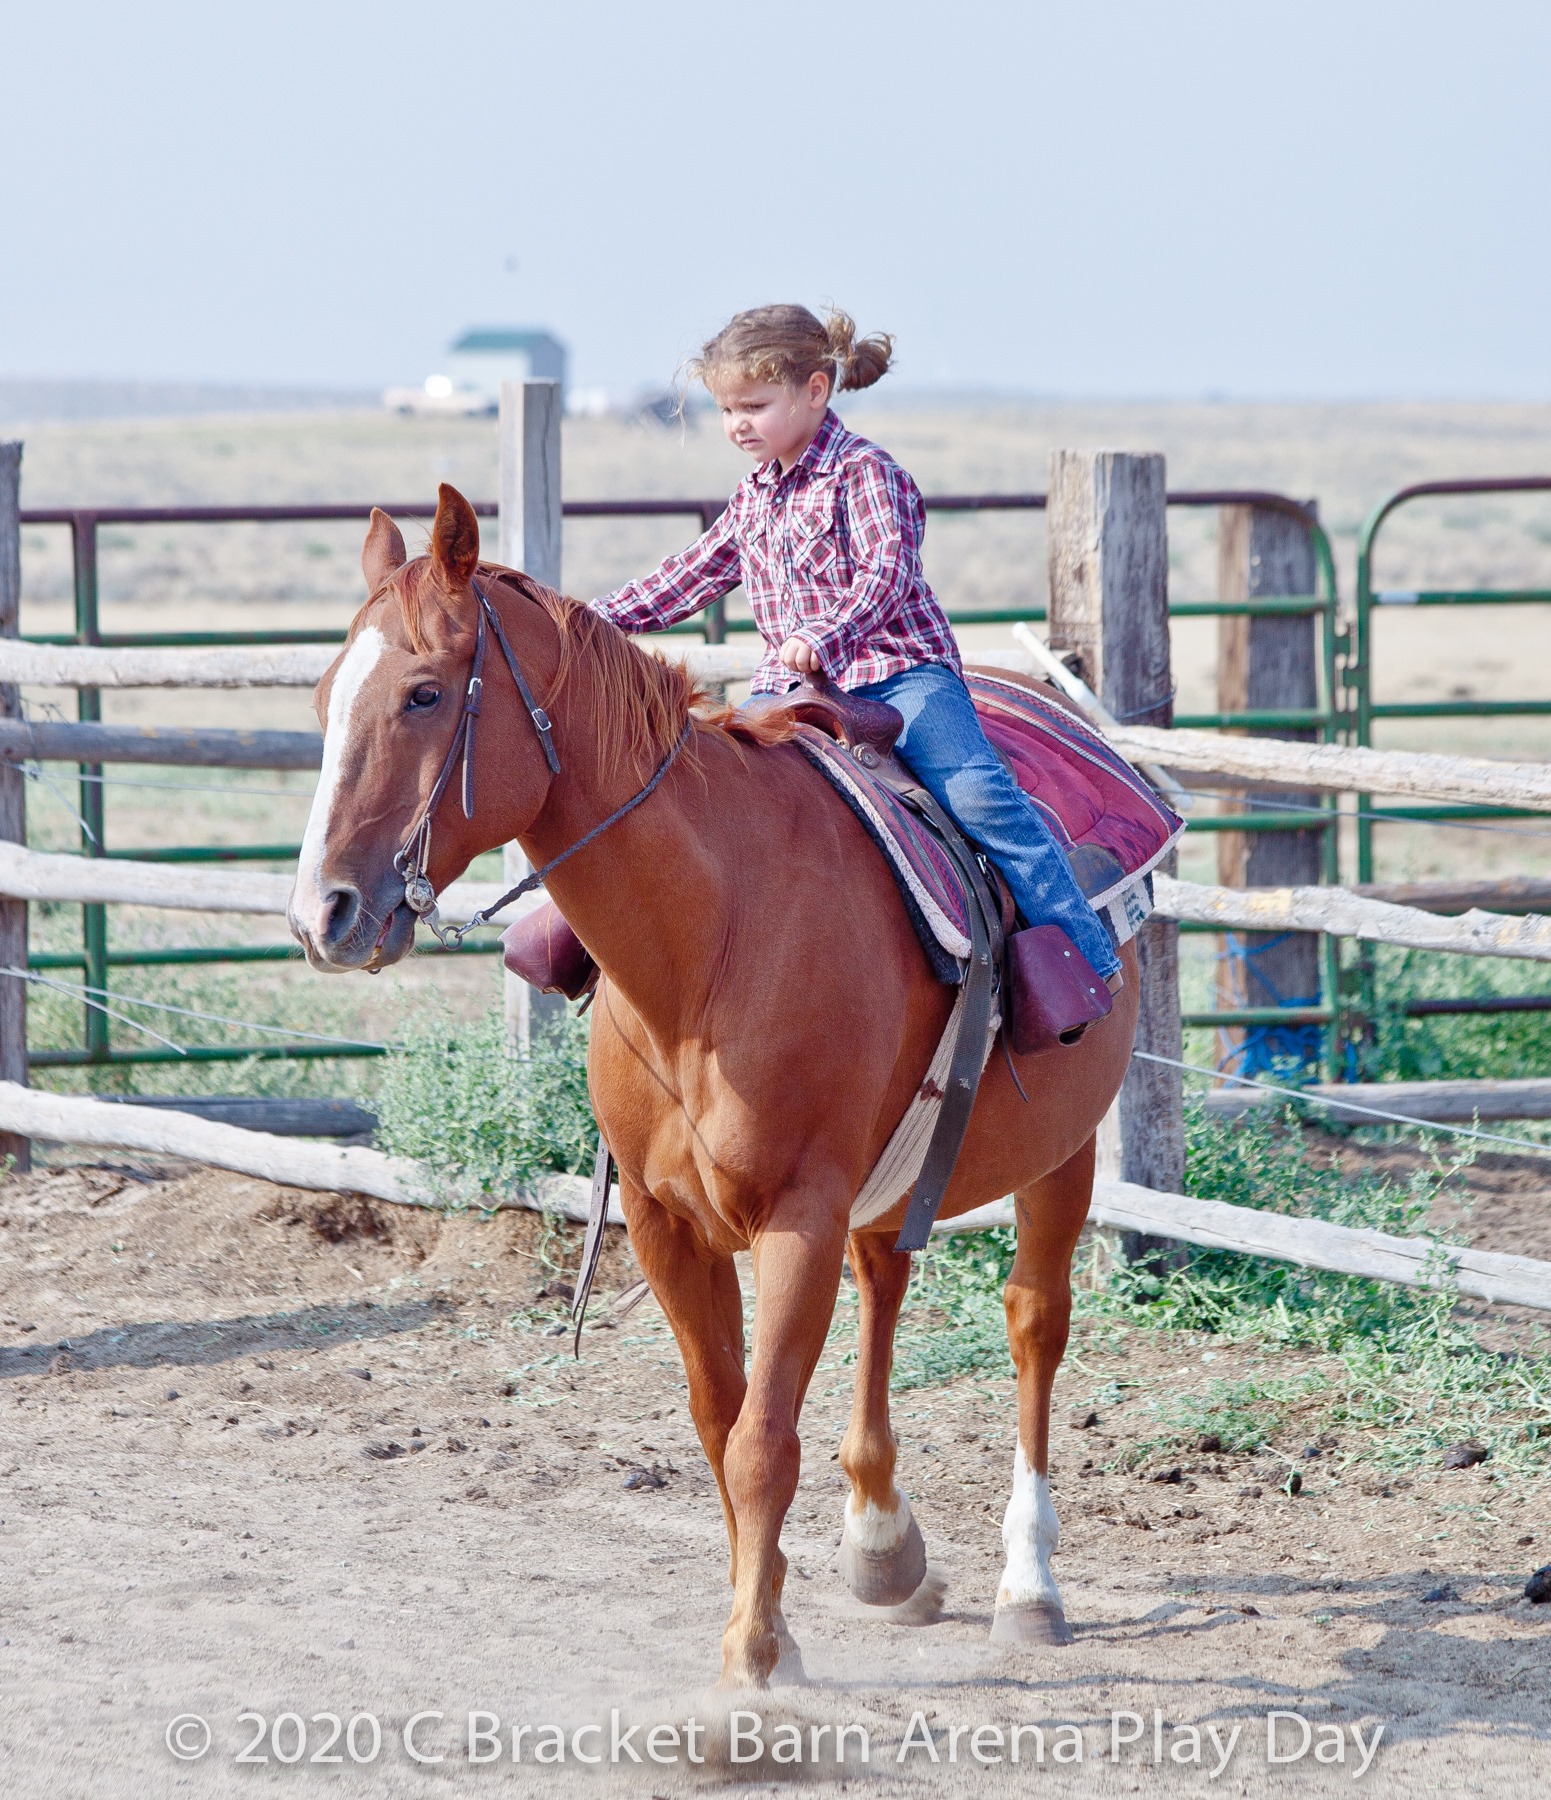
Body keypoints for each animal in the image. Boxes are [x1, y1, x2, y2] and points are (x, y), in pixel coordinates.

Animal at [288, 484, 1139, 1689]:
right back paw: (883, 1544)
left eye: (423, 693)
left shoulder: (795, 1218)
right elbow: (717, 1419)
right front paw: (772, 1610)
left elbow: (760, 1442)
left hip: (1060, 1151)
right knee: (886, 1280)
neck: (715, 938)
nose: (323, 914)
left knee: (1033, 1321)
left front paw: (754, 1660)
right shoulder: (663, 1224)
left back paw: (1029, 1584)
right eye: (327, 695)